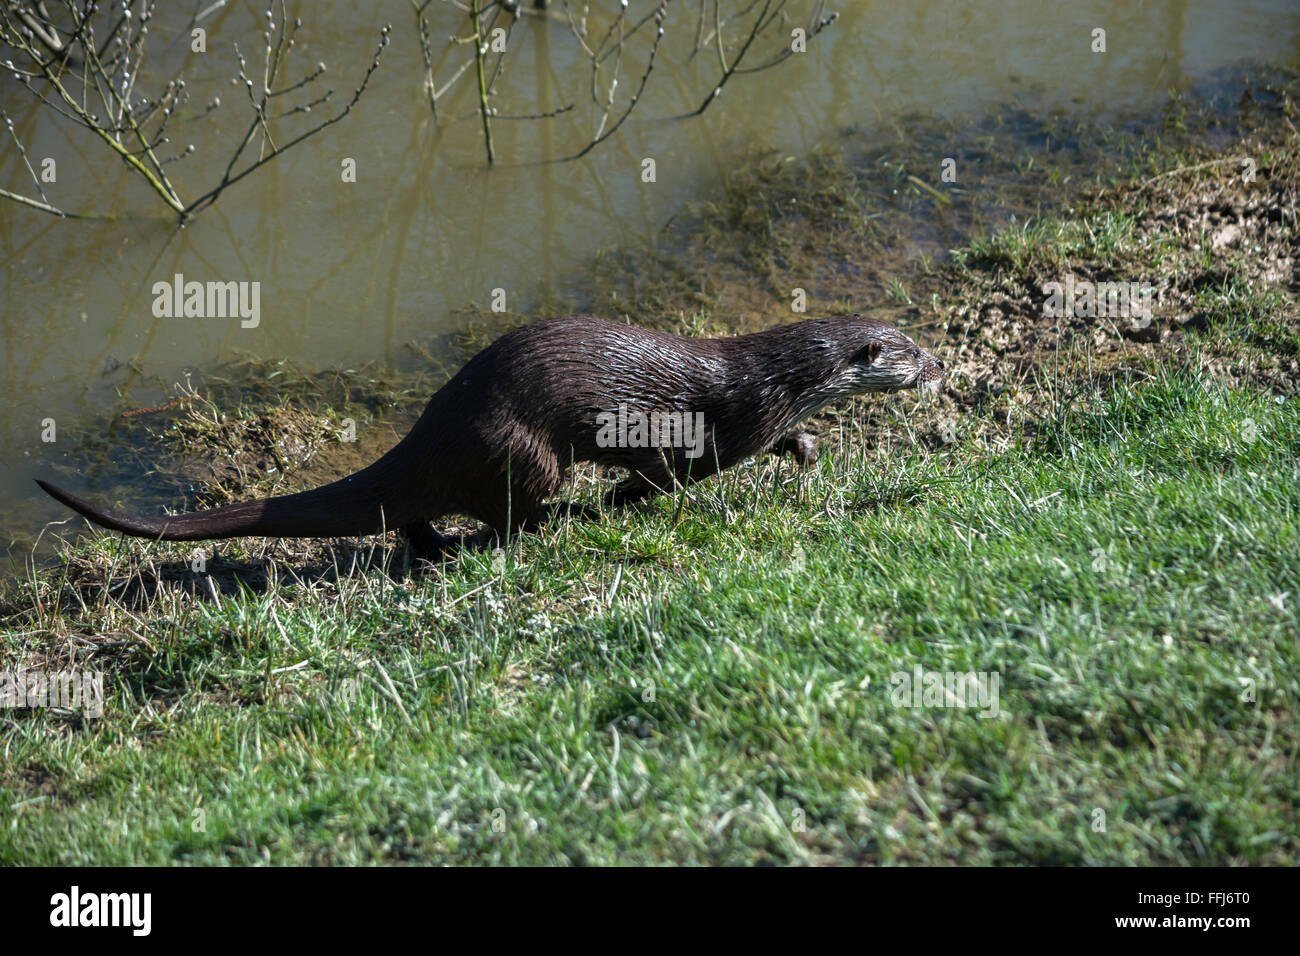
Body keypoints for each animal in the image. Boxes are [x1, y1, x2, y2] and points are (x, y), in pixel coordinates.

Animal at [37, 314, 944, 559]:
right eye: (907, 350)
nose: (940, 363)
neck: (772, 378)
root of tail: (432, 426)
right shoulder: (722, 428)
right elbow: (664, 476)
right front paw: (622, 498)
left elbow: (787, 446)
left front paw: (810, 452)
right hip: (525, 450)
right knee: (512, 511)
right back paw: (561, 520)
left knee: (414, 510)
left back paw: (434, 548)